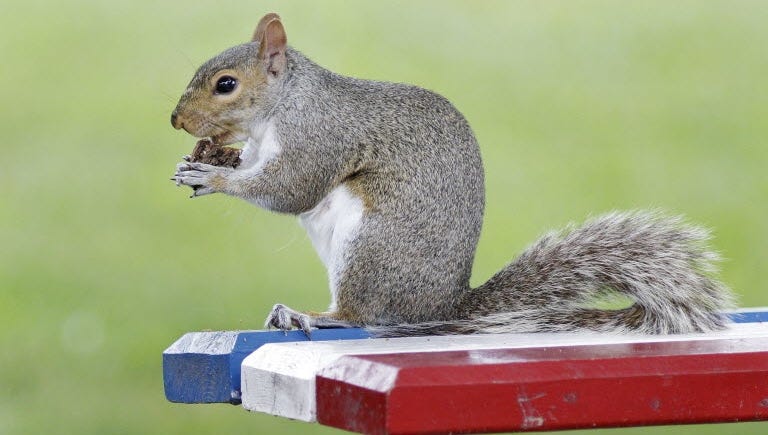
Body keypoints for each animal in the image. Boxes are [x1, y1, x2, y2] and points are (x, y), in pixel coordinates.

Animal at [171, 13, 732, 337]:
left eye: (226, 85)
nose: (176, 120)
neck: (281, 105)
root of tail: (441, 306)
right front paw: (197, 165)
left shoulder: (320, 135)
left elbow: (291, 190)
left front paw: (212, 177)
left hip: (368, 246)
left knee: (361, 315)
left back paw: (311, 315)